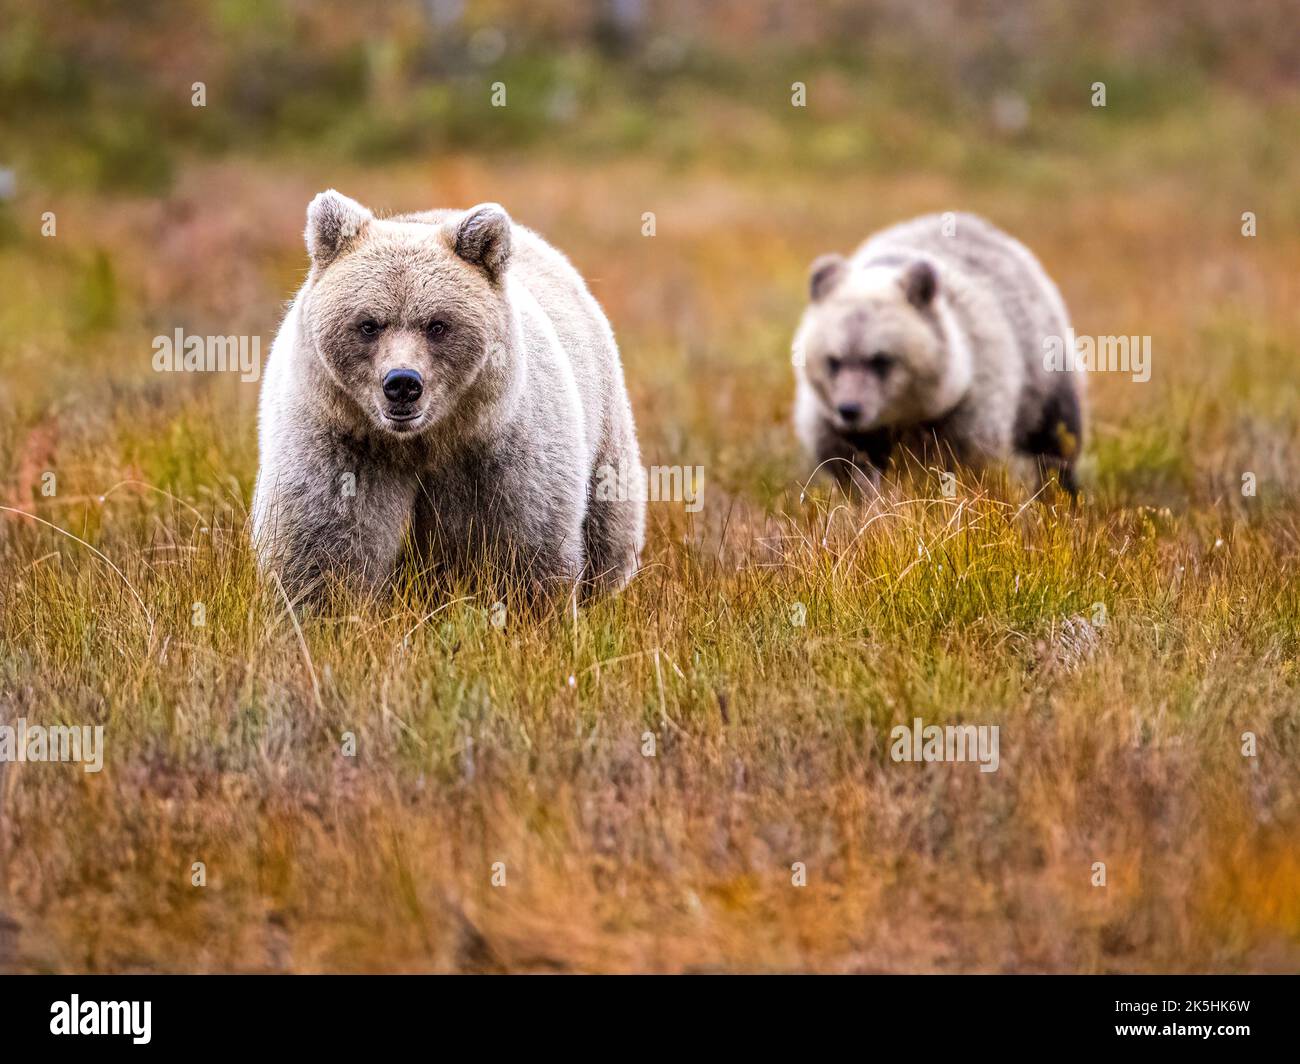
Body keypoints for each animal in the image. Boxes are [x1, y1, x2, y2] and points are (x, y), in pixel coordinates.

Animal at [252, 190, 646, 602]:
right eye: (369, 324)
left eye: (437, 325)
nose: (402, 383)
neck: (424, 441)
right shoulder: (340, 437)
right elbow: (323, 542)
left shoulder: (503, 447)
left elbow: (526, 541)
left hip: (605, 417)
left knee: (609, 523)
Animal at [792, 211, 1084, 495]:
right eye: (834, 360)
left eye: (881, 360)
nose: (850, 409)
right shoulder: (828, 419)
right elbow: (846, 461)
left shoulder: (970, 401)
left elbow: (960, 462)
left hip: (1043, 374)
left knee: (1057, 441)